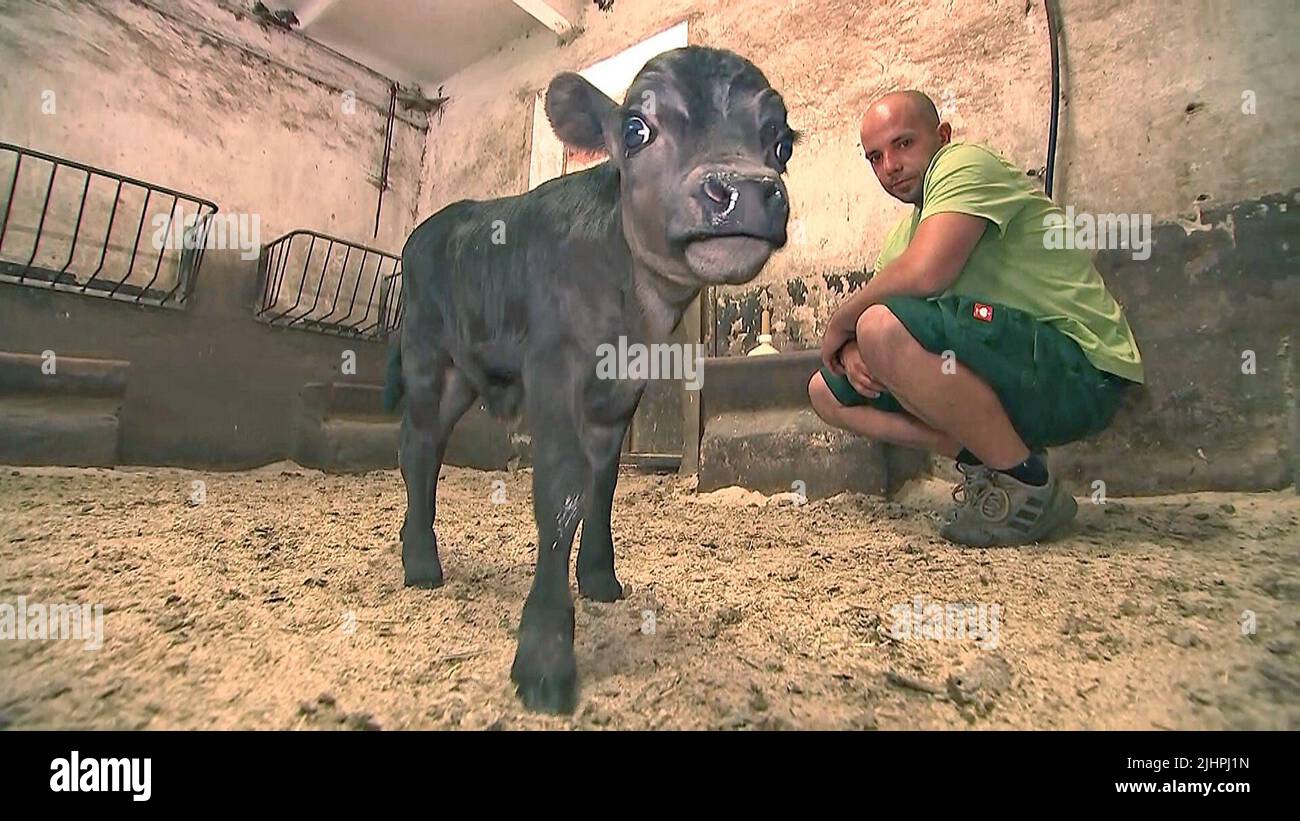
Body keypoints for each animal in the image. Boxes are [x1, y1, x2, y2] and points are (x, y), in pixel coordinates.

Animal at [383, 46, 797, 713]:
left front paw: (600, 576)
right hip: (426, 357)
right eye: (635, 128)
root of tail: (431, 226)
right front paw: (546, 653)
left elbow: (603, 484)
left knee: (423, 442)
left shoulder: (622, 389)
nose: (742, 190)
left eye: (781, 143)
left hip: (464, 376)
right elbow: (562, 491)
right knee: (419, 445)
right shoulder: (554, 372)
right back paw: (421, 563)